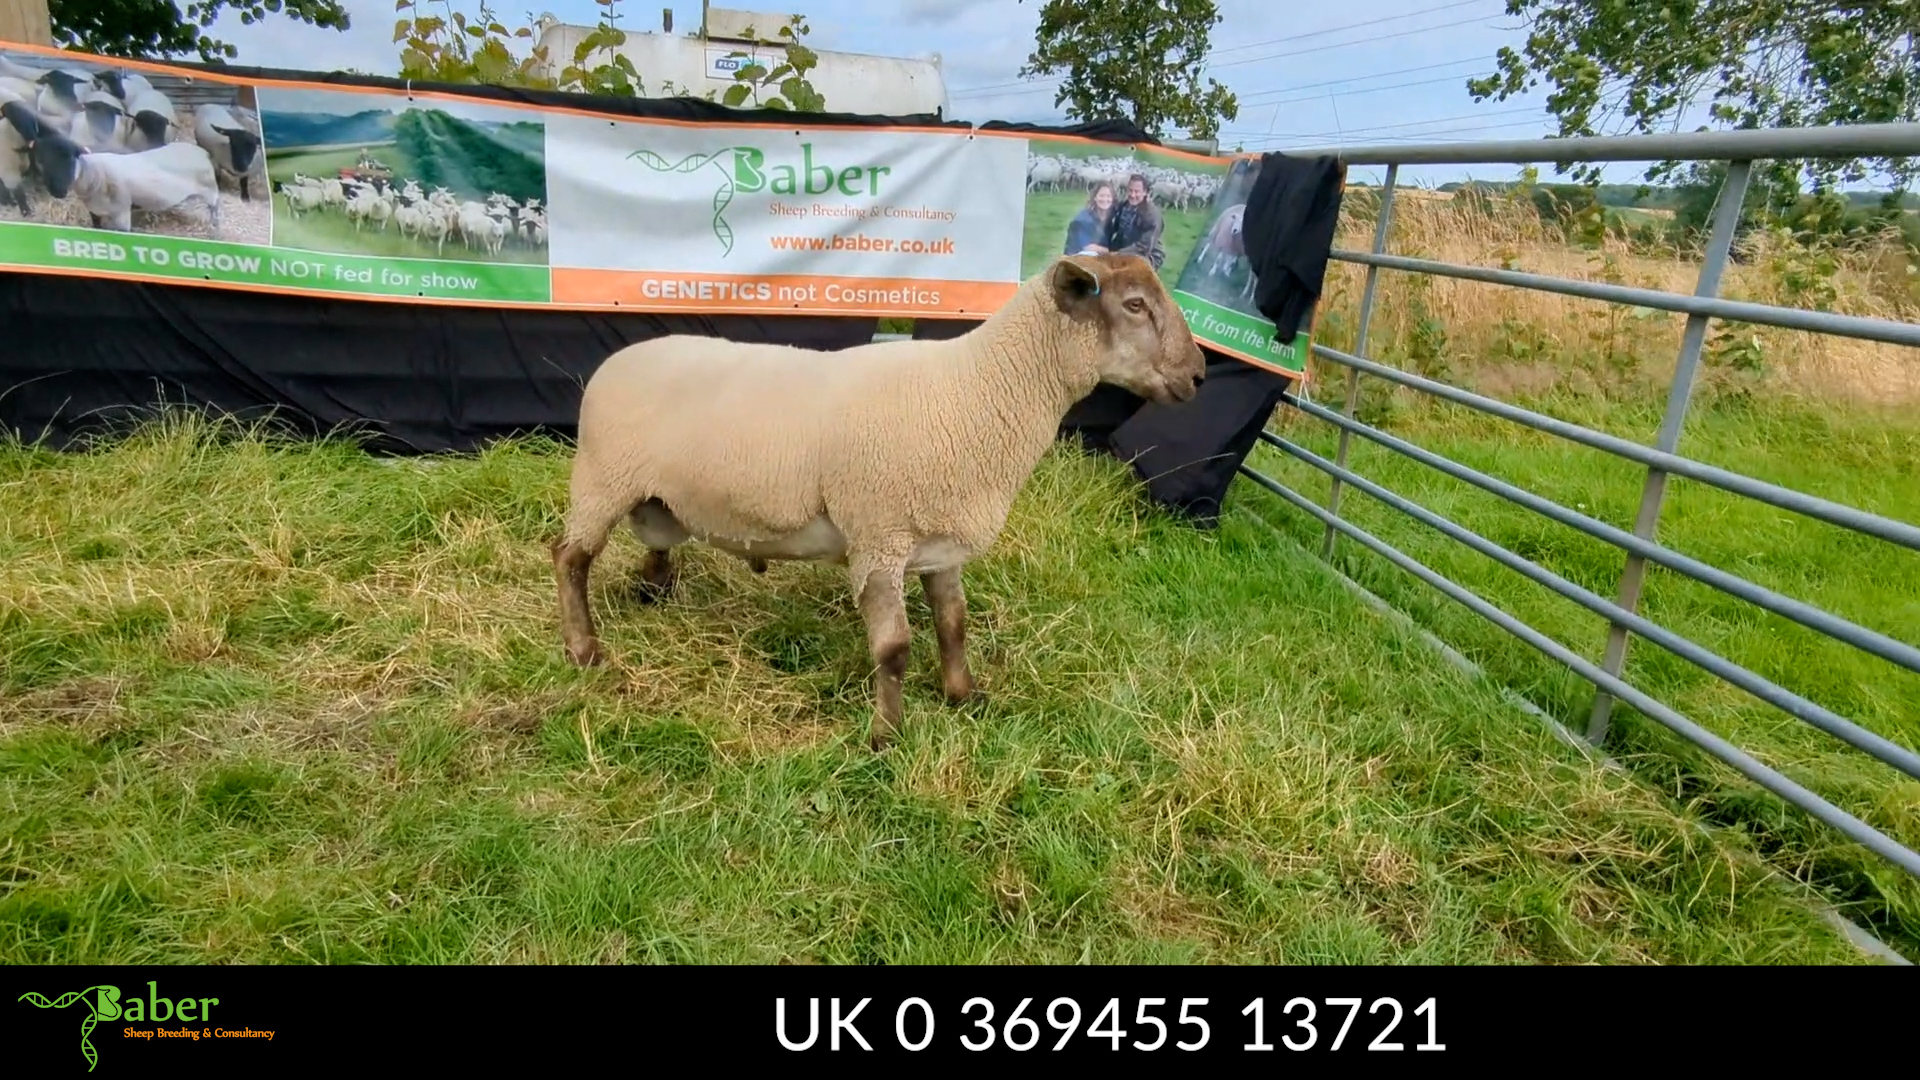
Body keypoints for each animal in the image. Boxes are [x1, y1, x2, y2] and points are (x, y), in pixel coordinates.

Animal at [30, 134, 222, 234]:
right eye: (42, 161)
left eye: (70, 158)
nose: (58, 190)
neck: (93, 173)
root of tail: (202, 152)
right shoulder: (95, 210)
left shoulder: (121, 212)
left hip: (210, 189)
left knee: (215, 207)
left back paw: (215, 229)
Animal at [550, 253, 1207, 750]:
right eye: (1134, 305)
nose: (1199, 375)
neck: (978, 390)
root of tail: (616, 361)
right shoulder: (878, 537)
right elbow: (893, 649)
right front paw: (885, 738)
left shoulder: (942, 544)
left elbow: (953, 624)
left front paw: (964, 697)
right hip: (600, 480)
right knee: (568, 559)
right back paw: (584, 650)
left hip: (654, 495)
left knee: (653, 541)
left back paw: (654, 592)